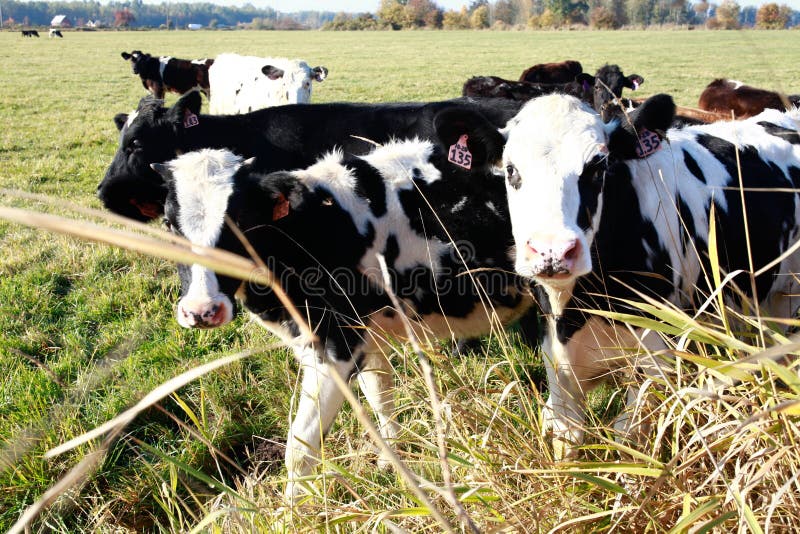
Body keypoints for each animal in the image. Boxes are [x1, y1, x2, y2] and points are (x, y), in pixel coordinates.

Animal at [150, 138, 533, 498]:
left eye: (242, 223)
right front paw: (392, 462)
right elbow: (380, 396)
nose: (201, 310)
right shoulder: (369, 335)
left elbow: (300, 447)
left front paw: (293, 513)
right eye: (169, 224)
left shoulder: (335, 345)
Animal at [451, 93, 800, 459]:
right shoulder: (557, 358)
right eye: (511, 169)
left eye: (597, 167)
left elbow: (629, 438)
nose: (553, 251)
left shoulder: (659, 356)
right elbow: (564, 435)